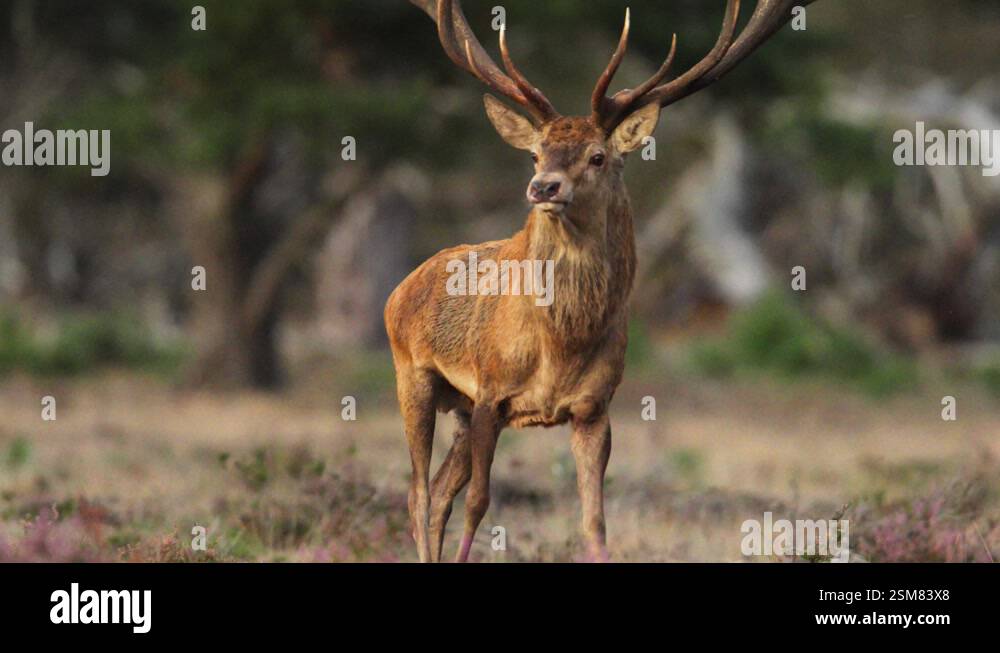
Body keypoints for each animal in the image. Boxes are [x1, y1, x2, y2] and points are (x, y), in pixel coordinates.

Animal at [385, 0, 815, 562]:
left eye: (598, 156)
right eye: (535, 153)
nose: (543, 186)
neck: (561, 345)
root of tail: (399, 290)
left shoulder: (594, 408)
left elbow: (594, 521)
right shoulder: (491, 393)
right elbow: (480, 503)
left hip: (457, 405)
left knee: (436, 494)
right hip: (413, 375)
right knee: (417, 493)